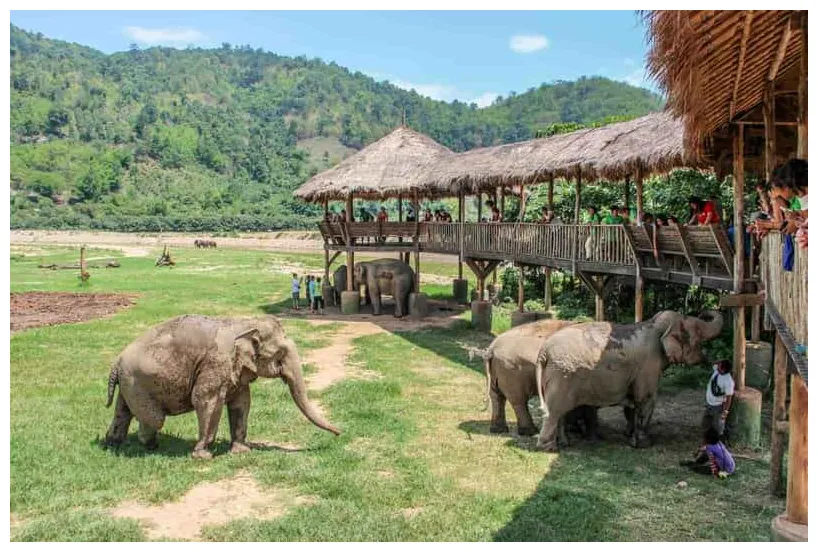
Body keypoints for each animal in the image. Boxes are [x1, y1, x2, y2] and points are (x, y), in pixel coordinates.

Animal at [104, 314, 340, 459]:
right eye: (280, 354)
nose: (340, 433)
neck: (243, 323)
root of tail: (116, 361)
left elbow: (242, 403)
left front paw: (242, 451)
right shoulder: (216, 363)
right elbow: (206, 400)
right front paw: (203, 455)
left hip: (129, 384)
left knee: (122, 412)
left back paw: (112, 444)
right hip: (138, 383)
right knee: (153, 419)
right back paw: (151, 446)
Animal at [534, 310, 724, 452]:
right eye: (698, 330)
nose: (704, 311)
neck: (654, 325)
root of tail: (543, 352)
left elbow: (633, 402)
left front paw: (629, 435)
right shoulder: (649, 366)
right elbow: (646, 399)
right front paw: (644, 444)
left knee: (561, 412)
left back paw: (564, 442)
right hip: (562, 376)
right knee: (555, 411)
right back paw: (549, 448)